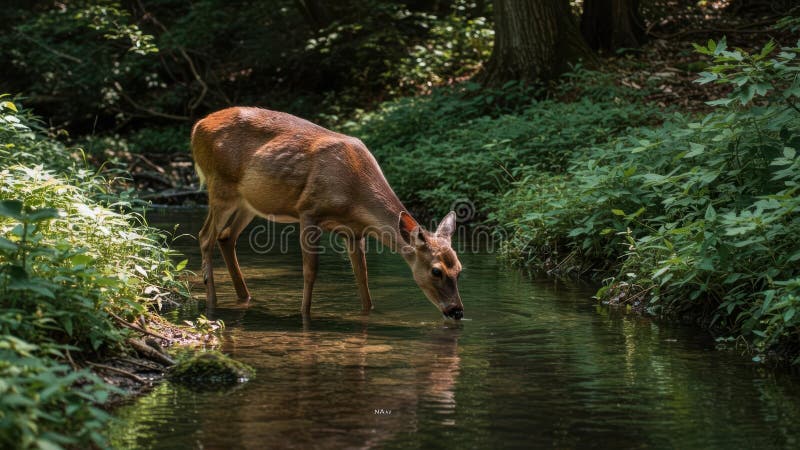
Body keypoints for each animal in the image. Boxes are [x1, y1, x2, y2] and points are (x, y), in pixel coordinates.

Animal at [190, 107, 464, 320]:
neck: (355, 193)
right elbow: (310, 271)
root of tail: (196, 127)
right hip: (220, 187)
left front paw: (368, 313)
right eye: (436, 271)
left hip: (248, 202)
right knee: (205, 237)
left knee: (226, 237)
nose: (457, 311)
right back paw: (212, 302)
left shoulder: (354, 232)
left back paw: (244, 297)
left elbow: (362, 277)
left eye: (459, 269)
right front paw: (305, 314)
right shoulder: (308, 210)